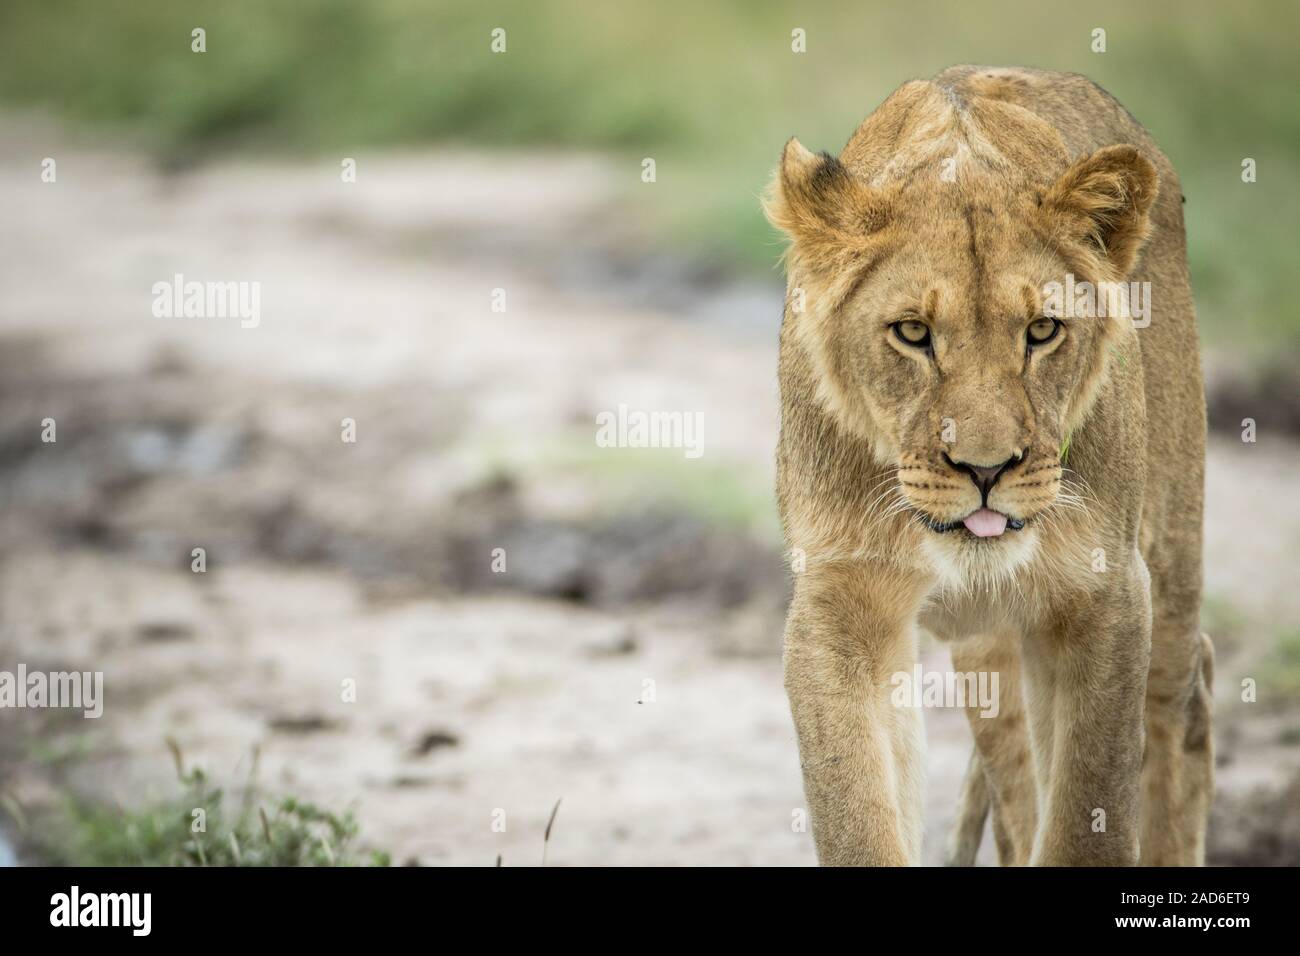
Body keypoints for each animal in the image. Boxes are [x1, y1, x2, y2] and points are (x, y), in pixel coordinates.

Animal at [766, 66, 1213, 866]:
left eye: (1042, 330)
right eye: (913, 333)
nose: (985, 470)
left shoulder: (1107, 592)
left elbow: (1089, 817)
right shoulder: (838, 599)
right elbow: (857, 813)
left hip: (1170, 561)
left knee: (1183, 709)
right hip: (989, 654)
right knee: (1015, 783)